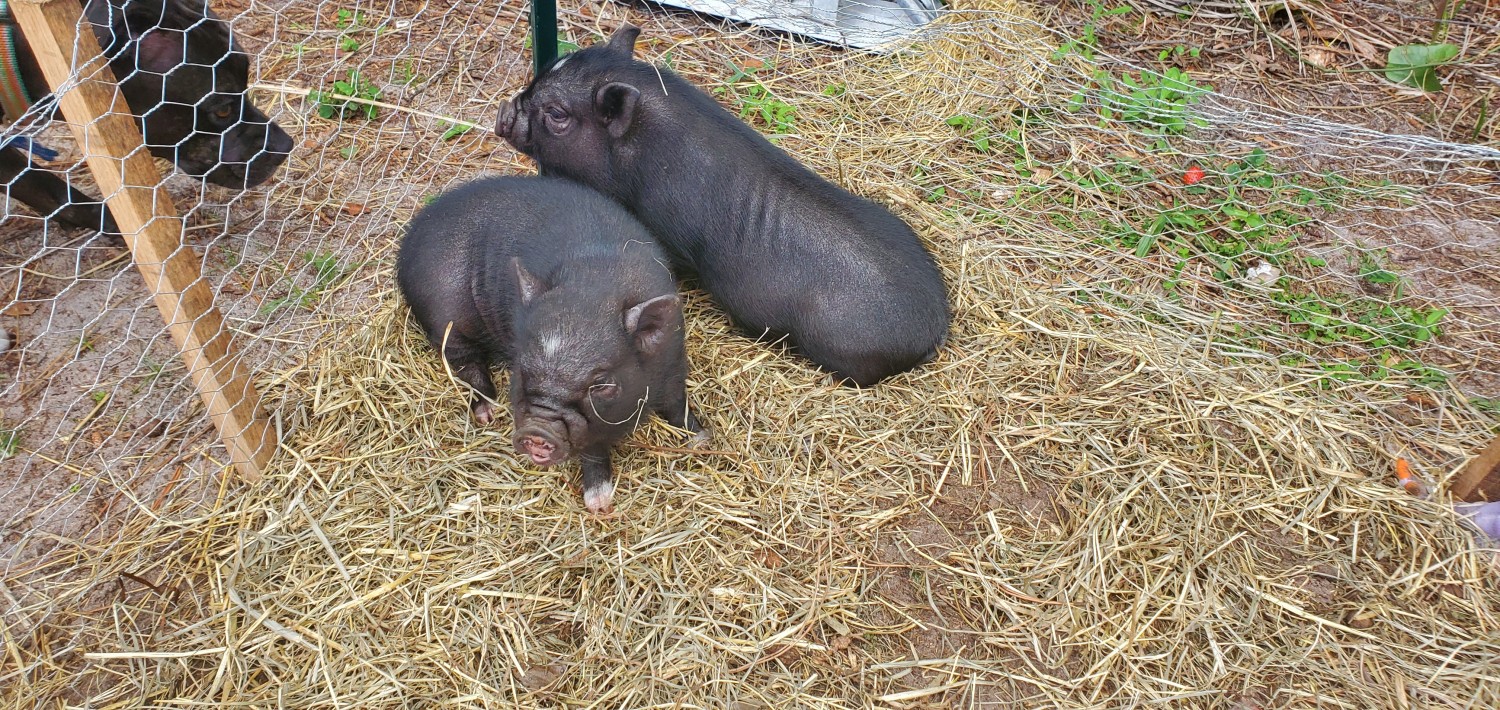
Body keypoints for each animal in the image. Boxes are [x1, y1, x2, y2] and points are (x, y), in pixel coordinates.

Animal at [396, 175, 703, 514]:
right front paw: (599, 506)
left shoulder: (674, 359)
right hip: (443, 311)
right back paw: (486, 412)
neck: (595, 283)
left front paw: (701, 439)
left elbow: (677, 402)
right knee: (461, 358)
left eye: (601, 384)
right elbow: (593, 450)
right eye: (520, 370)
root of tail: (411, 237)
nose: (537, 431)